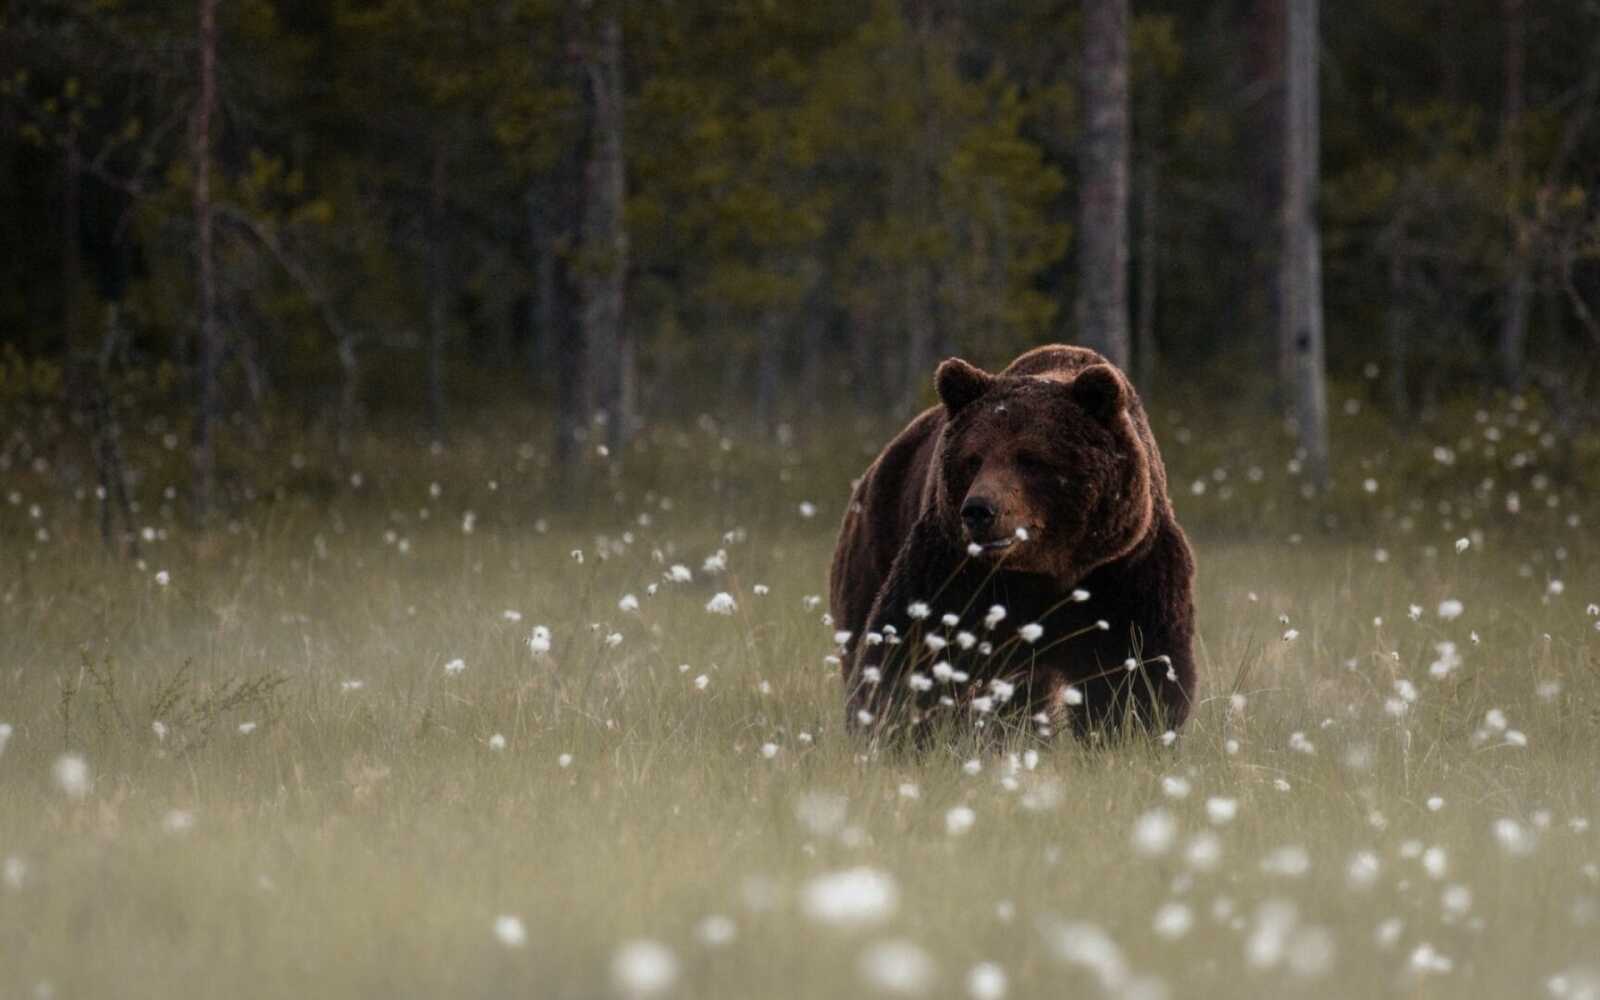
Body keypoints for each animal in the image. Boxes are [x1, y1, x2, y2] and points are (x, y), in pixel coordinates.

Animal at [828, 344, 1196, 742]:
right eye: (973, 458)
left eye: (1031, 459)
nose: (978, 510)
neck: (1044, 571)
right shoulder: (953, 570)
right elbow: (911, 647)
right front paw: (897, 728)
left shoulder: (1124, 569)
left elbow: (1135, 668)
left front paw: (1129, 729)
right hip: (874, 543)